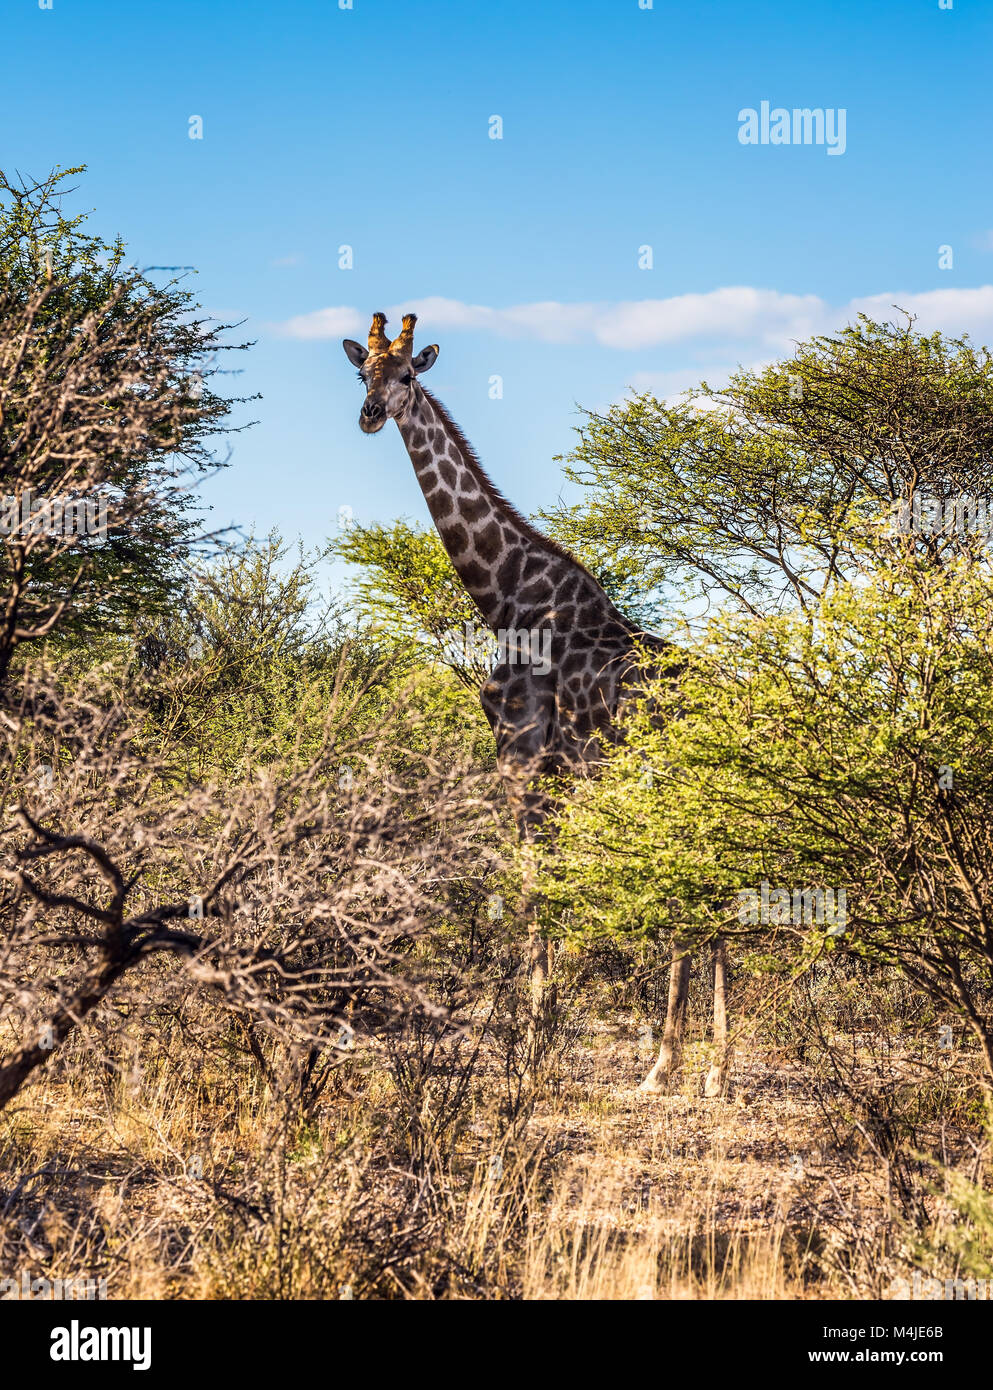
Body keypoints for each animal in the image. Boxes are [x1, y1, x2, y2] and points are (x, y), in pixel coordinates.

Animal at [342, 311, 729, 1095]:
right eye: (360, 371)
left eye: (408, 375)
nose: (369, 414)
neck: (504, 599)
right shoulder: (557, 779)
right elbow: (552, 895)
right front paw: (543, 1033)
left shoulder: (520, 764)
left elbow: (530, 898)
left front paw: (528, 1044)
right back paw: (710, 1071)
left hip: (672, 787)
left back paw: (670, 1068)